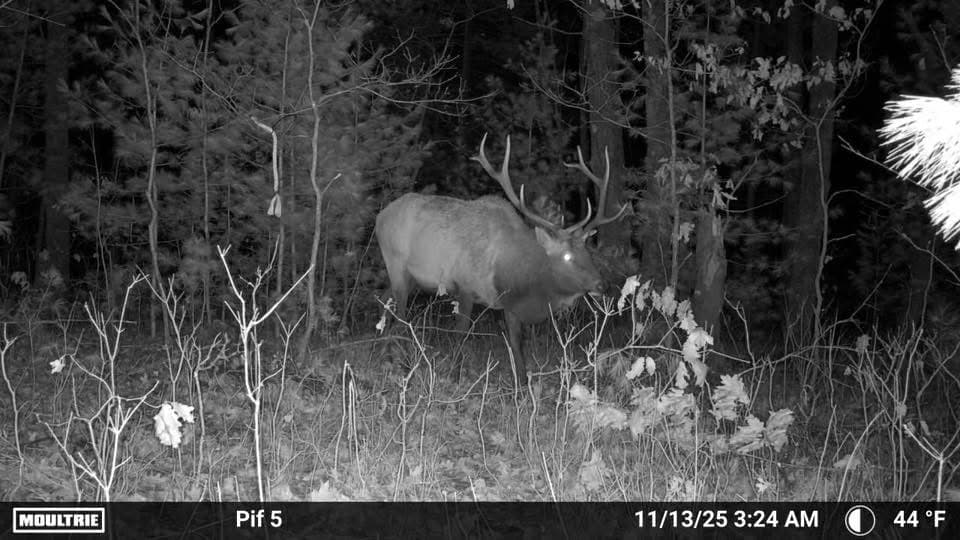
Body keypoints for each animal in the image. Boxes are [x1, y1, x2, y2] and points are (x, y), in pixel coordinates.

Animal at [375, 133, 626, 380]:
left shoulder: (509, 303)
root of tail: (381, 215)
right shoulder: (464, 287)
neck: (512, 273)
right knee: (400, 314)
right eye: (566, 257)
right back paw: (397, 361)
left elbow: (516, 344)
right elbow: (460, 334)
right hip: (395, 262)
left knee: (385, 300)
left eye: (587, 251)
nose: (602, 285)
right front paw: (453, 375)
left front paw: (521, 383)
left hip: (409, 276)